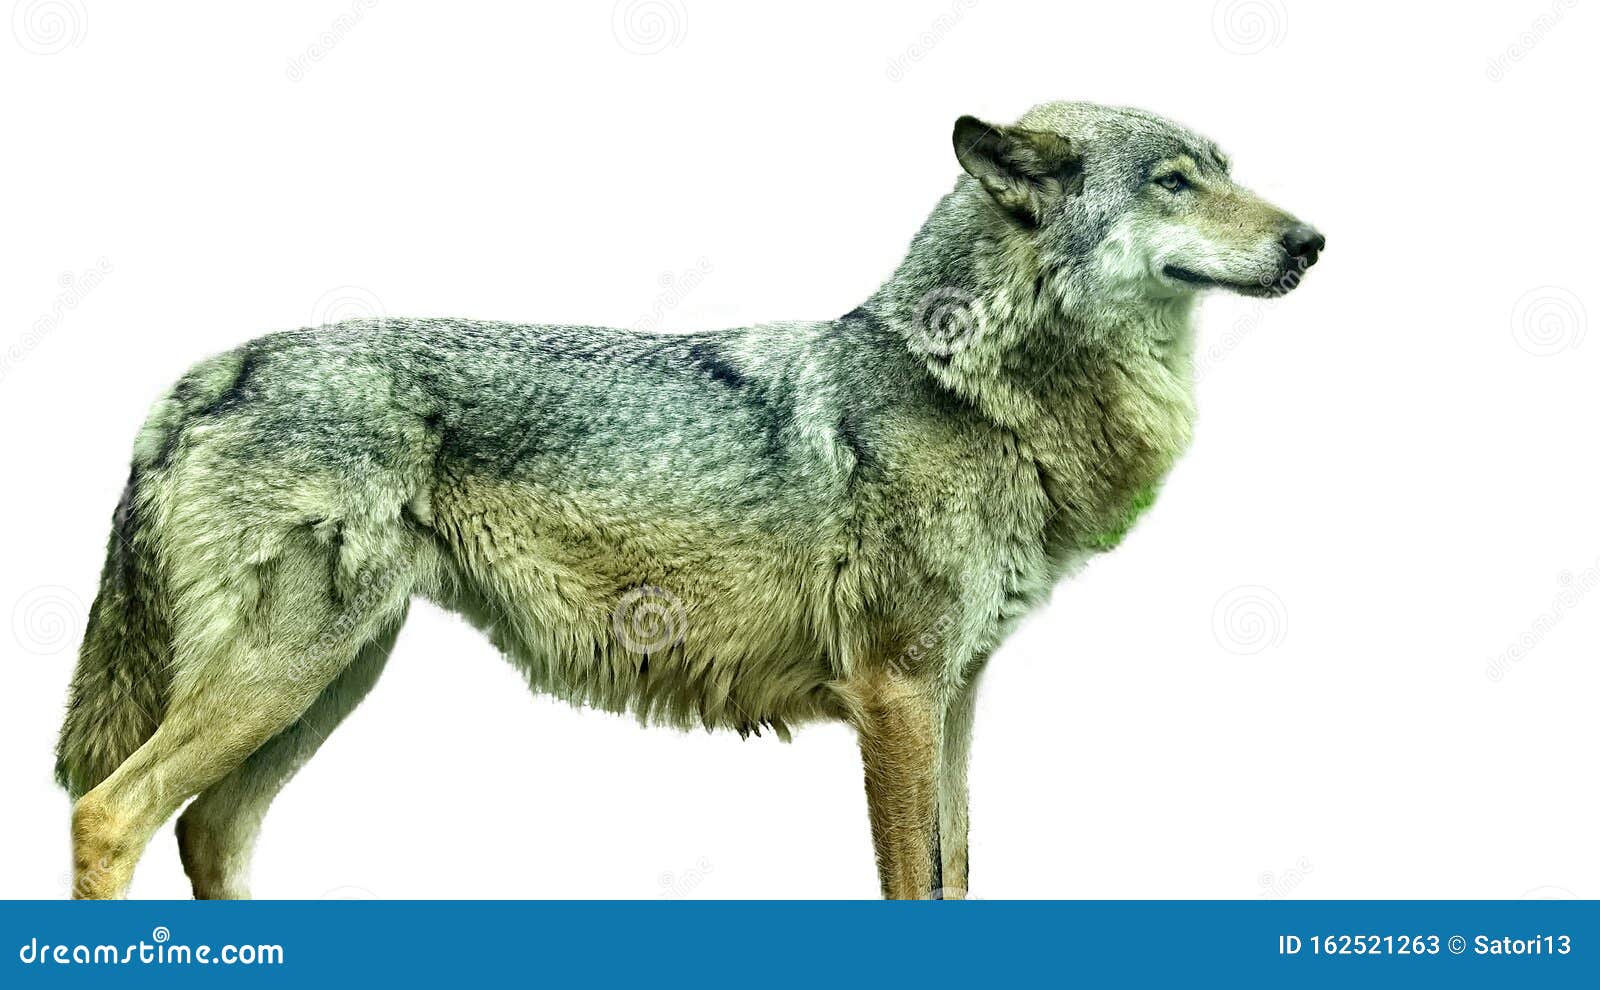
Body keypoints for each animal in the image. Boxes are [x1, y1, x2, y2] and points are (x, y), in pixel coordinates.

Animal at [56, 101, 1323, 900]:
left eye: (1224, 168)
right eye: (1175, 183)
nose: (1313, 240)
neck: (973, 387)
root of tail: (210, 373)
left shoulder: (956, 692)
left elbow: (960, 873)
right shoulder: (895, 692)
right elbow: (910, 884)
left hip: (328, 680)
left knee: (206, 832)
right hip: (289, 674)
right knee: (107, 817)